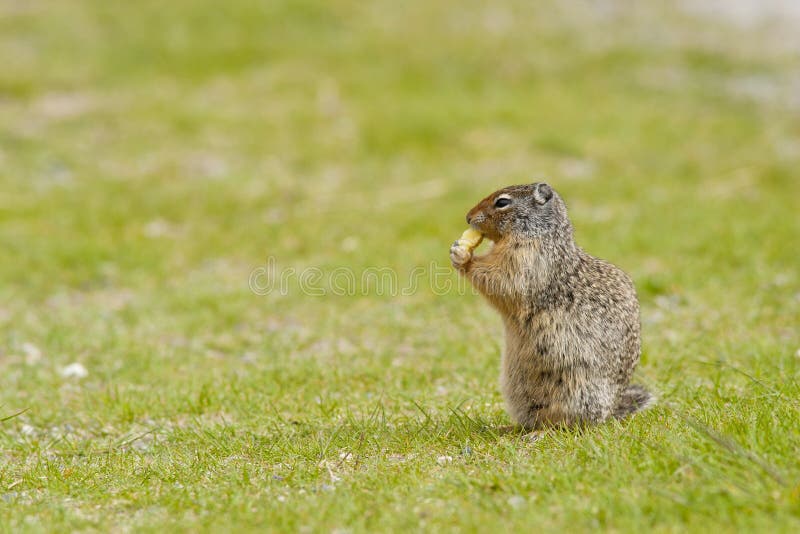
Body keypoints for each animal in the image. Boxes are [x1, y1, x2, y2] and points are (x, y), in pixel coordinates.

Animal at [450, 182, 652, 429]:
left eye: (502, 202)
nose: (468, 217)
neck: (539, 234)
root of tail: (607, 415)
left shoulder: (525, 259)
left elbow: (501, 279)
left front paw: (462, 256)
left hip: (571, 390)